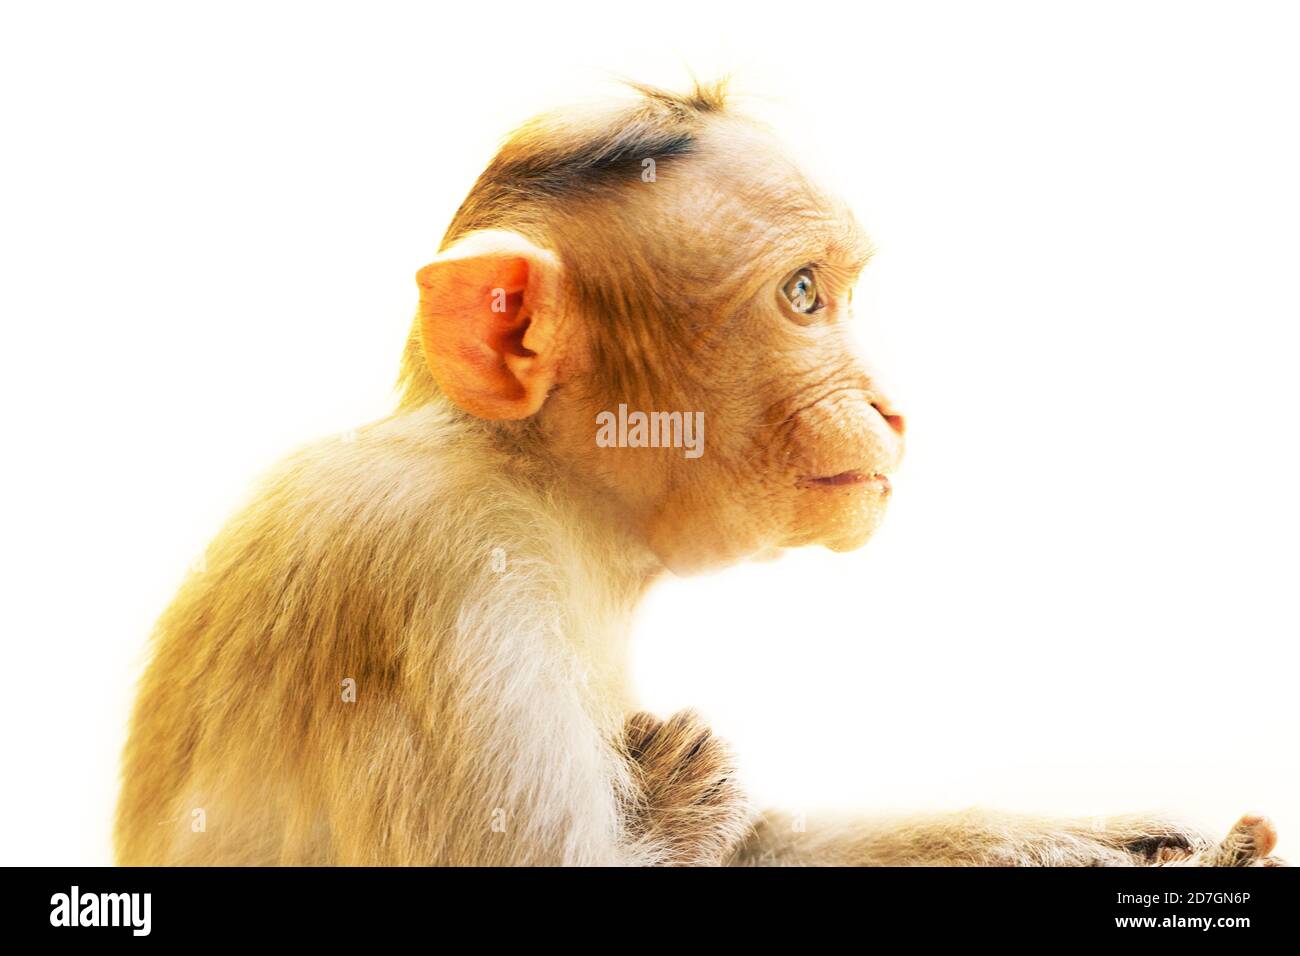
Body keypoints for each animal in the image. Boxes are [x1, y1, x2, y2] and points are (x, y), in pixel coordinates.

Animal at [115, 79, 1282, 867]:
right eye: (803, 295)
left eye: (836, 289)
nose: (891, 407)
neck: (538, 483)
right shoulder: (445, 578)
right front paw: (680, 798)